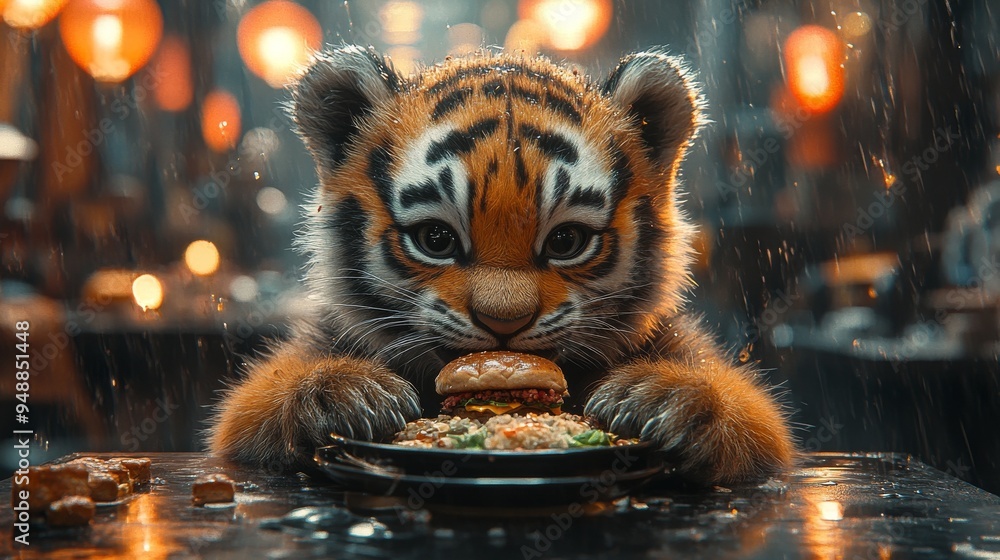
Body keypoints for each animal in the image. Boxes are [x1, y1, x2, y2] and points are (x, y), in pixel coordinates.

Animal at [207, 45, 795, 484]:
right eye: (436, 239)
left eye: (567, 241)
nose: (503, 323)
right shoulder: (253, 406)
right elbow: (258, 402)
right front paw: (338, 392)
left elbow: (752, 416)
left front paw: (667, 395)